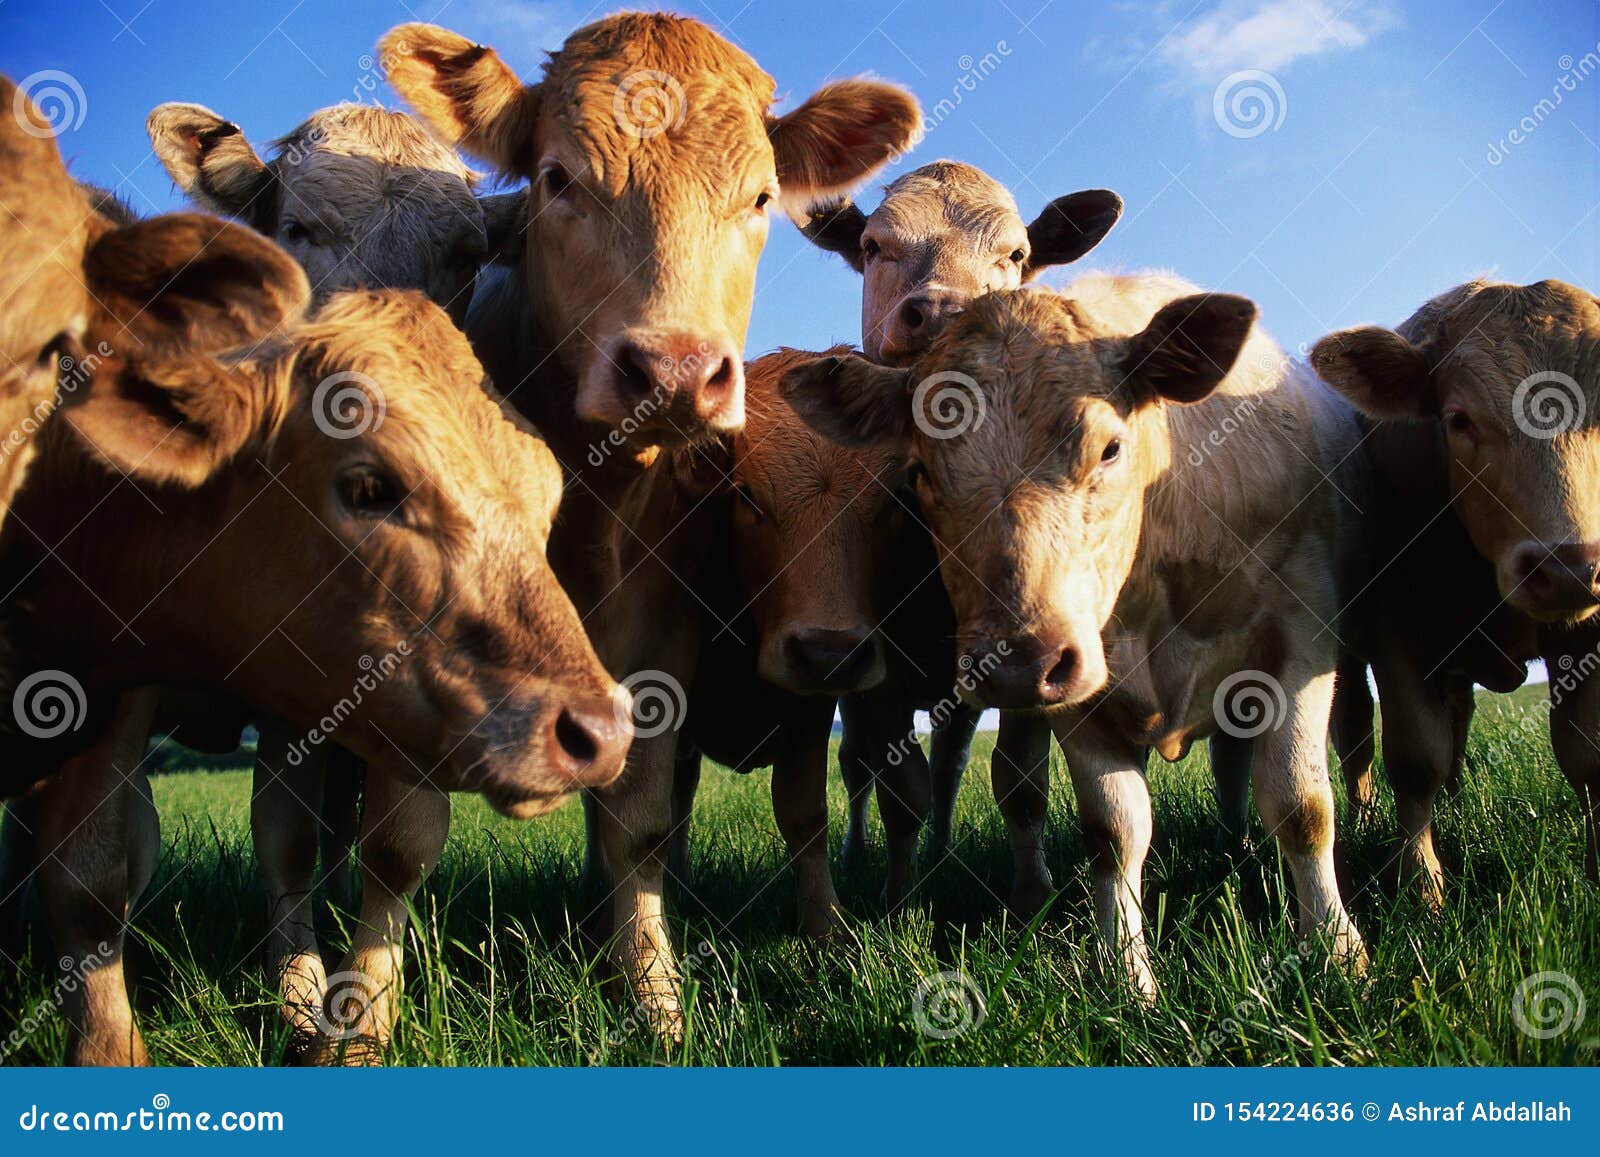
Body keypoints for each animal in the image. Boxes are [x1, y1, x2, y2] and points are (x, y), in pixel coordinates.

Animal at [1, 288, 629, 1064]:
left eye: (546, 504)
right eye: (368, 486)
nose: (601, 730)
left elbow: (350, 842)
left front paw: (333, 1018)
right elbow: (90, 881)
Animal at [377, 12, 920, 1040]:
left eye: (760, 196)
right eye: (557, 178)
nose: (673, 373)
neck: (584, 514)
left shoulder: (657, 645)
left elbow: (642, 822)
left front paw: (656, 999)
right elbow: (405, 835)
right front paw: (356, 1021)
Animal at [781, 274, 1369, 998]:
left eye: (1109, 448)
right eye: (918, 472)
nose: (1015, 663)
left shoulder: (1301, 637)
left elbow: (1300, 803)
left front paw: (1337, 952)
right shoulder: (1077, 692)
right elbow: (1114, 829)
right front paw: (1125, 973)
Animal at [798, 160, 1122, 869]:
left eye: (1018, 254)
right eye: (873, 246)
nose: (945, 311)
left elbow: (1017, 778)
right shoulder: (880, 676)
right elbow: (895, 787)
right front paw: (895, 886)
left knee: (949, 759)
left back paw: (943, 850)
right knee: (855, 763)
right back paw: (859, 853)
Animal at [1311, 278, 1600, 901]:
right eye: (1458, 419)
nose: (1568, 568)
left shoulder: (1589, 637)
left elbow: (1586, 753)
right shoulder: (1399, 633)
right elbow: (1415, 757)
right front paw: (1422, 887)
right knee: (1355, 734)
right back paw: (1366, 816)